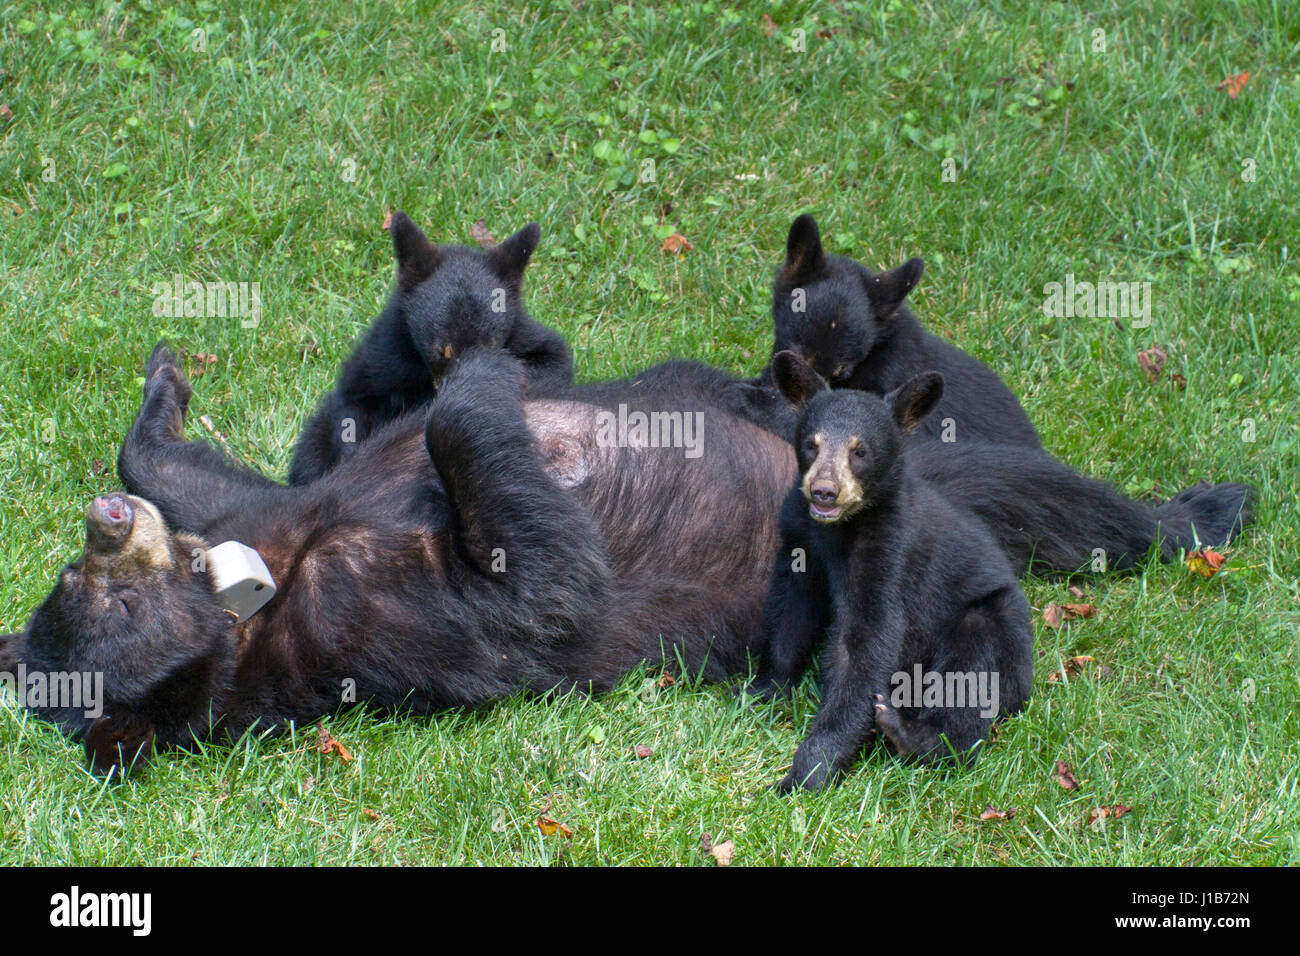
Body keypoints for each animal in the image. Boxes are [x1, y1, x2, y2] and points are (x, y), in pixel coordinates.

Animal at [2, 343, 795, 776]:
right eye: (121, 605)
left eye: (75, 577)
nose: (105, 520)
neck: (255, 600)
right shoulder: (366, 609)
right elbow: (541, 586)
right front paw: (478, 378)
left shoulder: (252, 518)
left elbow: (189, 477)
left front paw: (163, 387)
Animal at [287, 212, 574, 485]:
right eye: (440, 350)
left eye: (490, 348)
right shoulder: (385, 353)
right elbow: (355, 402)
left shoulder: (524, 334)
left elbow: (553, 362)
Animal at [752, 351, 1033, 793]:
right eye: (811, 444)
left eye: (860, 451)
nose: (824, 492)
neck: (840, 531)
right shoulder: (799, 538)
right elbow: (790, 613)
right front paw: (763, 690)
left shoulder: (891, 554)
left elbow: (867, 643)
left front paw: (805, 775)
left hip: (995, 626)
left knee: (972, 677)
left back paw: (912, 735)